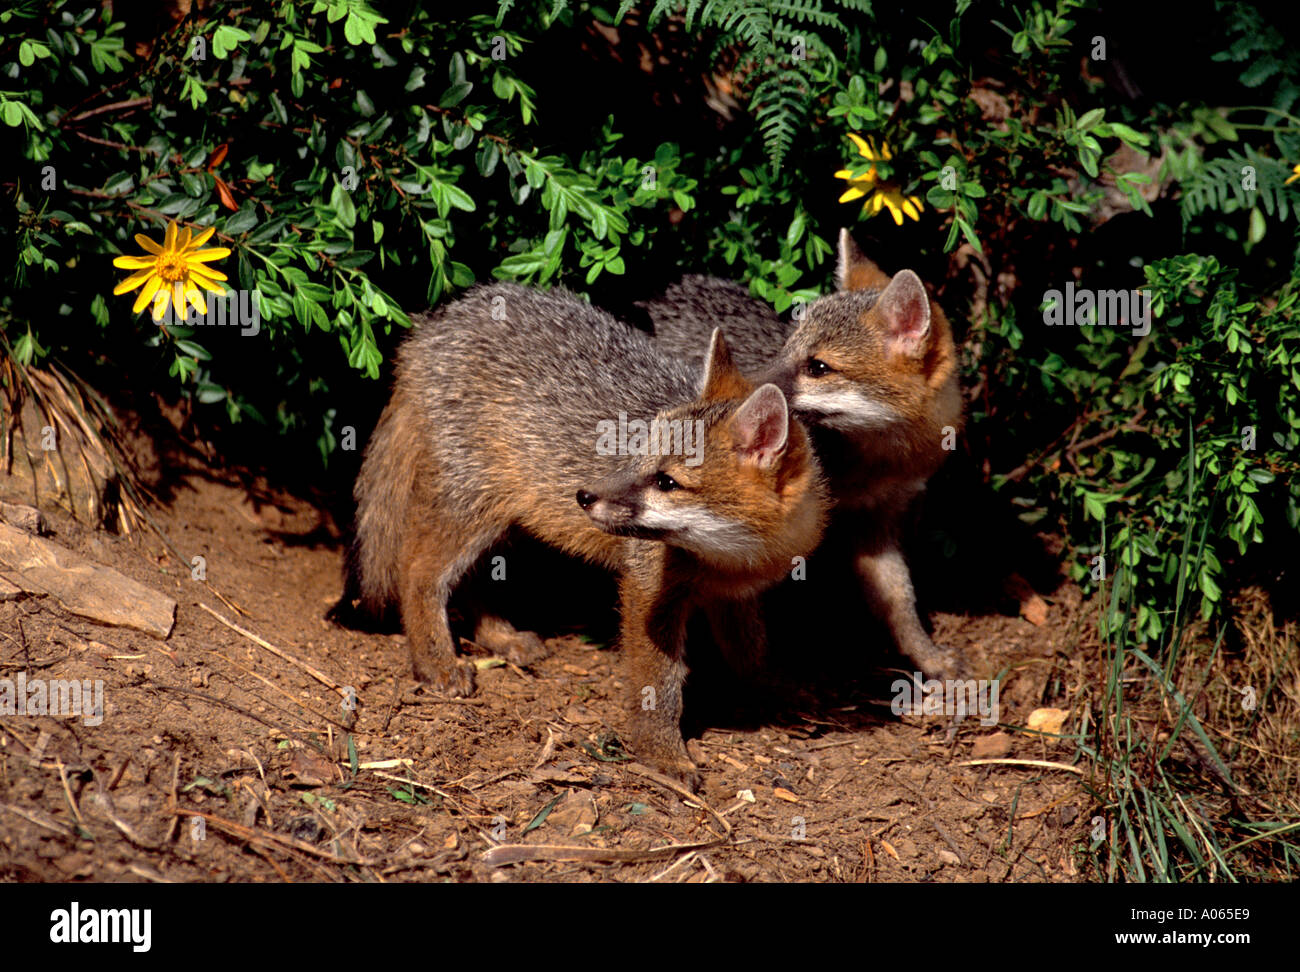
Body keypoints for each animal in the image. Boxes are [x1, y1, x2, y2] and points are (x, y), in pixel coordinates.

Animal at [335, 284, 821, 784]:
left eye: (666, 482)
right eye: (638, 456)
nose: (585, 496)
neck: (731, 559)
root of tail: (445, 317)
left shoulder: (739, 596)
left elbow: (752, 652)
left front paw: (772, 693)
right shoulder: (649, 593)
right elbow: (658, 684)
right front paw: (663, 754)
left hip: (503, 521)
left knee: (468, 579)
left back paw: (500, 637)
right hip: (472, 509)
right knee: (418, 572)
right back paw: (436, 661)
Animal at [642, 231, 967, 680]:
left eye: (818, 367)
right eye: (786, 348)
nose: (753, 387)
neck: (881, 464)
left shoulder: (879, 517)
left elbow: (899, 596)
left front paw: (926, 654)